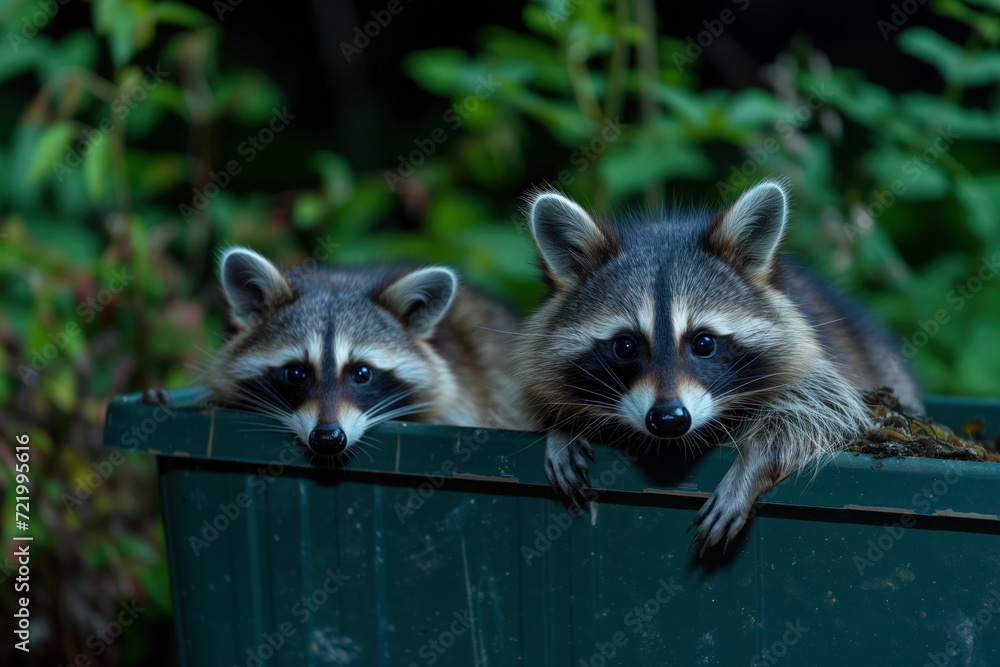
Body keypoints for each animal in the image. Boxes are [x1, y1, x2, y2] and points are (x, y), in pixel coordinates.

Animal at [513, 181, 921, 554]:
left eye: (704, 343)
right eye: (625, 346)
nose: (669, 420)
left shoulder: (815, 360)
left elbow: (826, 410)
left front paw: (752, 464)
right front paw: (561, 424)